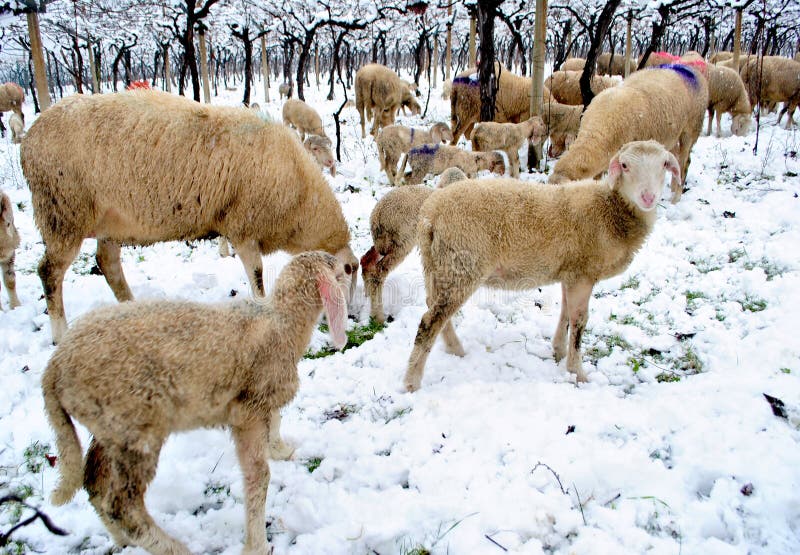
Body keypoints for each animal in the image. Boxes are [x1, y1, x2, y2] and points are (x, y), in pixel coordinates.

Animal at [20, 90, 359, 344]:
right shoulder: (242, 225)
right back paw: (60, 333)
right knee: (49, 272)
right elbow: (258, 278)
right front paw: (264, 312)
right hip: (62, 212)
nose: (353, 315)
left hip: (109, 220)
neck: (299, 200)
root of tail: (28, 138)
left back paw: (130, 306)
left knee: (108, 264)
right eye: (348, 271)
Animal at [42, 251, 348, 555]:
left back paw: (122, 540)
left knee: (94, 482)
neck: (281, 322)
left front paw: (281, 449)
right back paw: (175, 549)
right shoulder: (247, 411)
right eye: (341, 273)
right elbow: (258, 476)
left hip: (110, 428)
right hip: (135, 434)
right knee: (123, 508)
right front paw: (257, 545)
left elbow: (275, 421)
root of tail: (53, 370)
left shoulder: (262, 397)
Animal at [361, 168, 468, 324]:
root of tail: (377, 215)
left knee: (366, 260)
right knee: (378, 272)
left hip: (385, 243)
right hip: (401, 241)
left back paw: (367, 294)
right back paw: (378, 316)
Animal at [404, 140, 680, 391]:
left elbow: (566, 313)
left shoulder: (571, 272)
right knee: (429, 322)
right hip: (462, 263)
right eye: (624, 165)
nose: (648, 197)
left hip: (437, 264)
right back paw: (412, 382)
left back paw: (456, 350)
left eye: (664, 164)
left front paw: (558, 352)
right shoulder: (583, 274)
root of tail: (430, 215)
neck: (611, 210)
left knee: (434, 309)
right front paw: (577, 373)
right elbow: (579, 321)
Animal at [549, 63, 708, 205]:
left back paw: (676, 198)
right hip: (671, 136)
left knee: (684, 161)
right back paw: (674, 188)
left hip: (690, 130)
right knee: (680, 160)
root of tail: (689, 69)